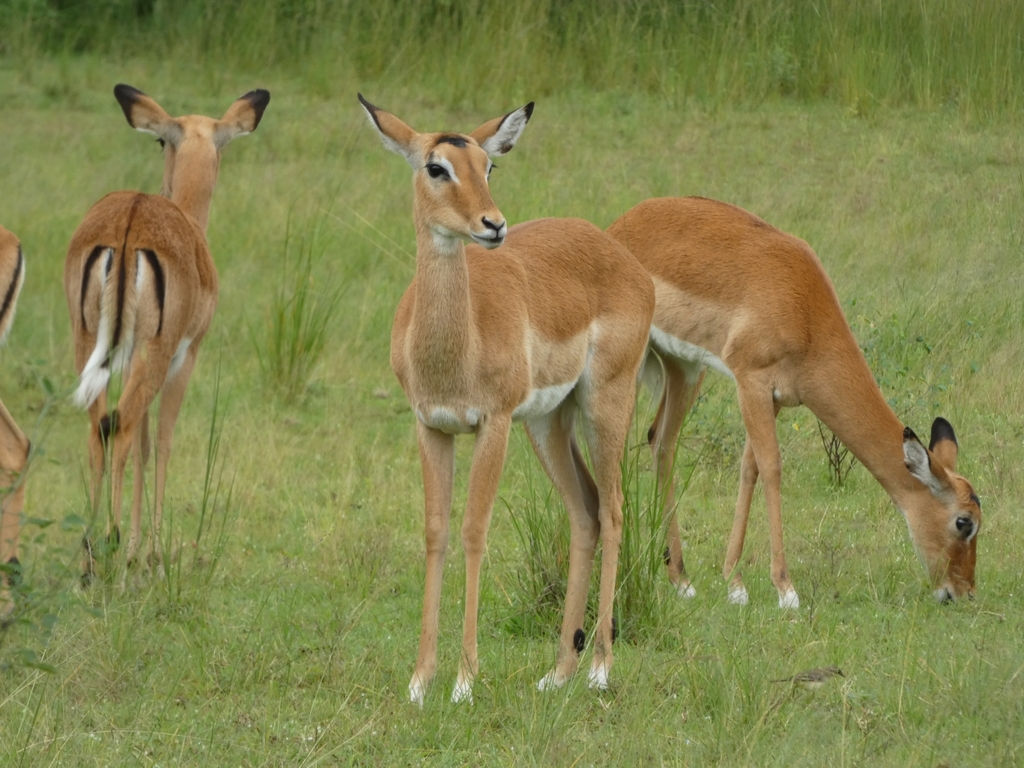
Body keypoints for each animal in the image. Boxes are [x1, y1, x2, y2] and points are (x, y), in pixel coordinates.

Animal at [64, 84, 269, 573]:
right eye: (162, 140)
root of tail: (129, 224)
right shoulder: (185, 355)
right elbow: (161, 439)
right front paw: (150, 551)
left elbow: (142, 442)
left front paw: (137, 547)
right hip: (155, 354)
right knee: (120, 426)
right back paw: (111, 545)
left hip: (90, 344)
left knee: (100, 428)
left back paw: (91, 555)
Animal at [359, 95, 655, 705]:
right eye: (436, 167)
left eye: (488, 166)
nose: (493, 225)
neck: (455, 346)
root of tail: (622, 257)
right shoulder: (431, 426)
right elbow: (435, 532)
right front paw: (420, 680)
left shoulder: (491, 424)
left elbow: (474, 531)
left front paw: (464, 681)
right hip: (547, 423)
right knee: (584, 512)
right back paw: (558, 672)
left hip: (604, 403)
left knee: (614, 508)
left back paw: (600, 669)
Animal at [608, 196, 980, 608]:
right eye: (964, 522)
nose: (962, 592)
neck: (806, 314)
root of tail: (620, 225)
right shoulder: (751, 381)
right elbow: (772, 467)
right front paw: (785, 590)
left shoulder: (777, 398)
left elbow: (750, 467)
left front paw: (734, 584)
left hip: (684, 368)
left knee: (660, 441)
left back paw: (681, 579)